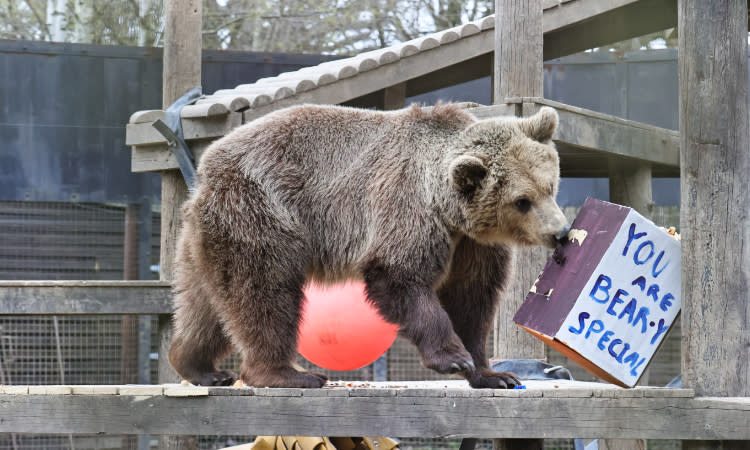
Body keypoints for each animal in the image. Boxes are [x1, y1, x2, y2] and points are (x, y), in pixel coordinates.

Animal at [167, 102, 570, 389]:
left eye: (550, 186)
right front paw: (453, 357)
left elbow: (471, 298)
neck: (450, 211)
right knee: (264, 291)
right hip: (260, 210)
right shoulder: (407, 206)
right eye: (521, 200)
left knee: (205, 302)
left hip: (205, 234)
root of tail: (206, 168)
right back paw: (287, 373)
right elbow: (400, 276)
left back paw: (197, 365)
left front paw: (492, 373)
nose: (561, 232)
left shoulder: (471, 245)